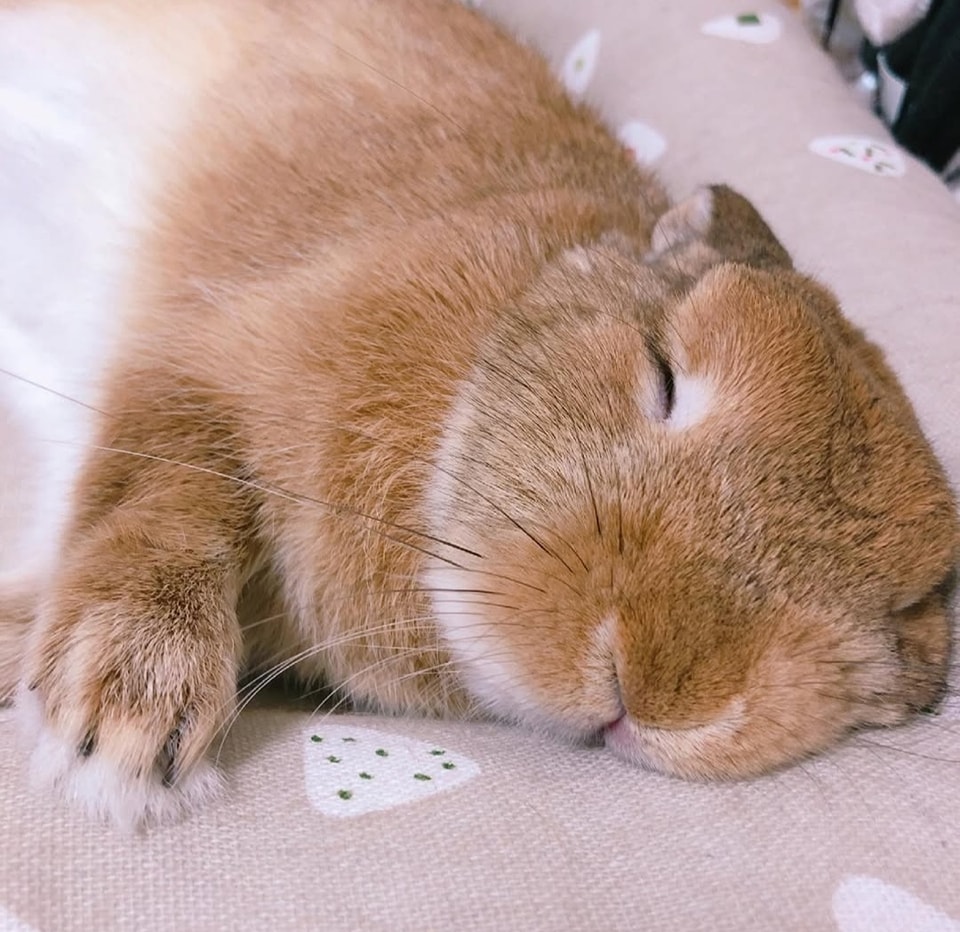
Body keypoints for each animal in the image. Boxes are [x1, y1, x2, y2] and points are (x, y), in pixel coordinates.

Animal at [0, 0, 956, 830]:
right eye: (664, 374)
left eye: (910, 608)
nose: (660, 690)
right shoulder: (202, 362)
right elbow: (173, 486)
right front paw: (120, 726)